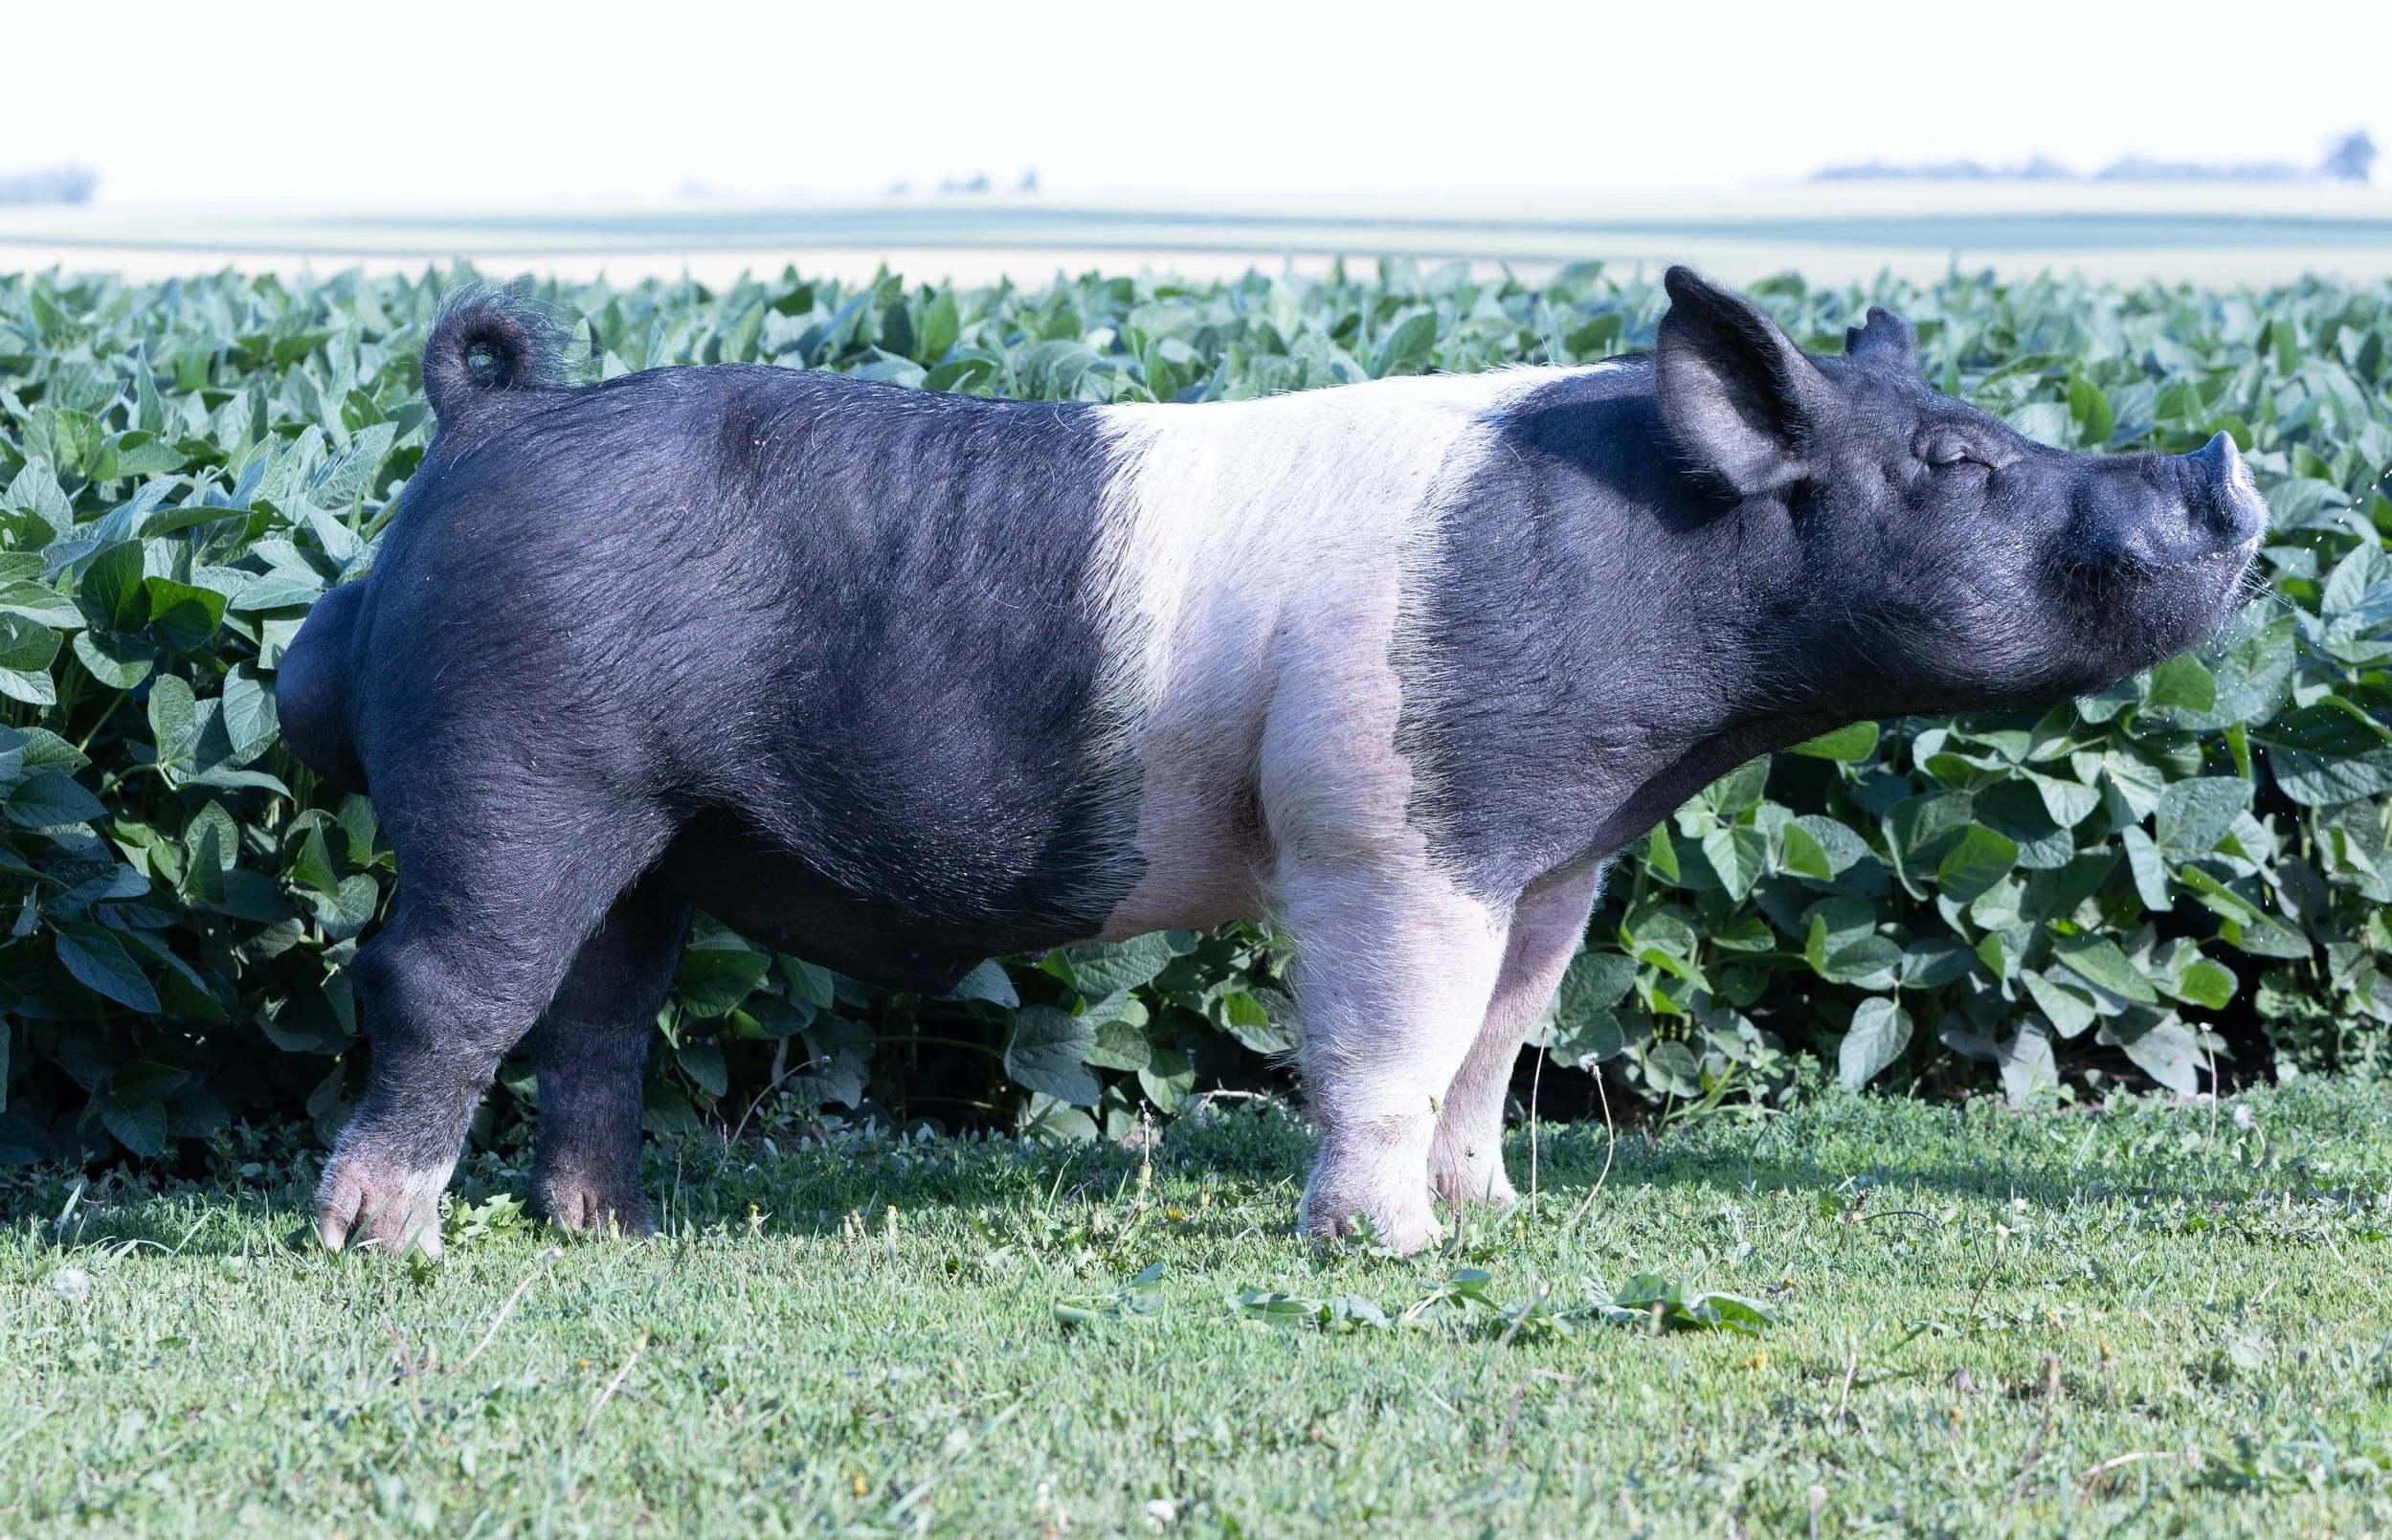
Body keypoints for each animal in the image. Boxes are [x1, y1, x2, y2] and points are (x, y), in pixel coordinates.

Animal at [277, 267, 2265, 1256]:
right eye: (1955, 466)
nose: (2224, 477)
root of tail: (489, 420)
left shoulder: (1551, 850)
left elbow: (1497, 1039)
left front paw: (1488, 1213)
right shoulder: (1386, 822)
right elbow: (1391, 1035)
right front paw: (1385, 1248)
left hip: (652, 834)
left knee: (594, 1011)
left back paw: (607, 1230)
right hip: (522, 767)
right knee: (444, 979)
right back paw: (386, 1241)